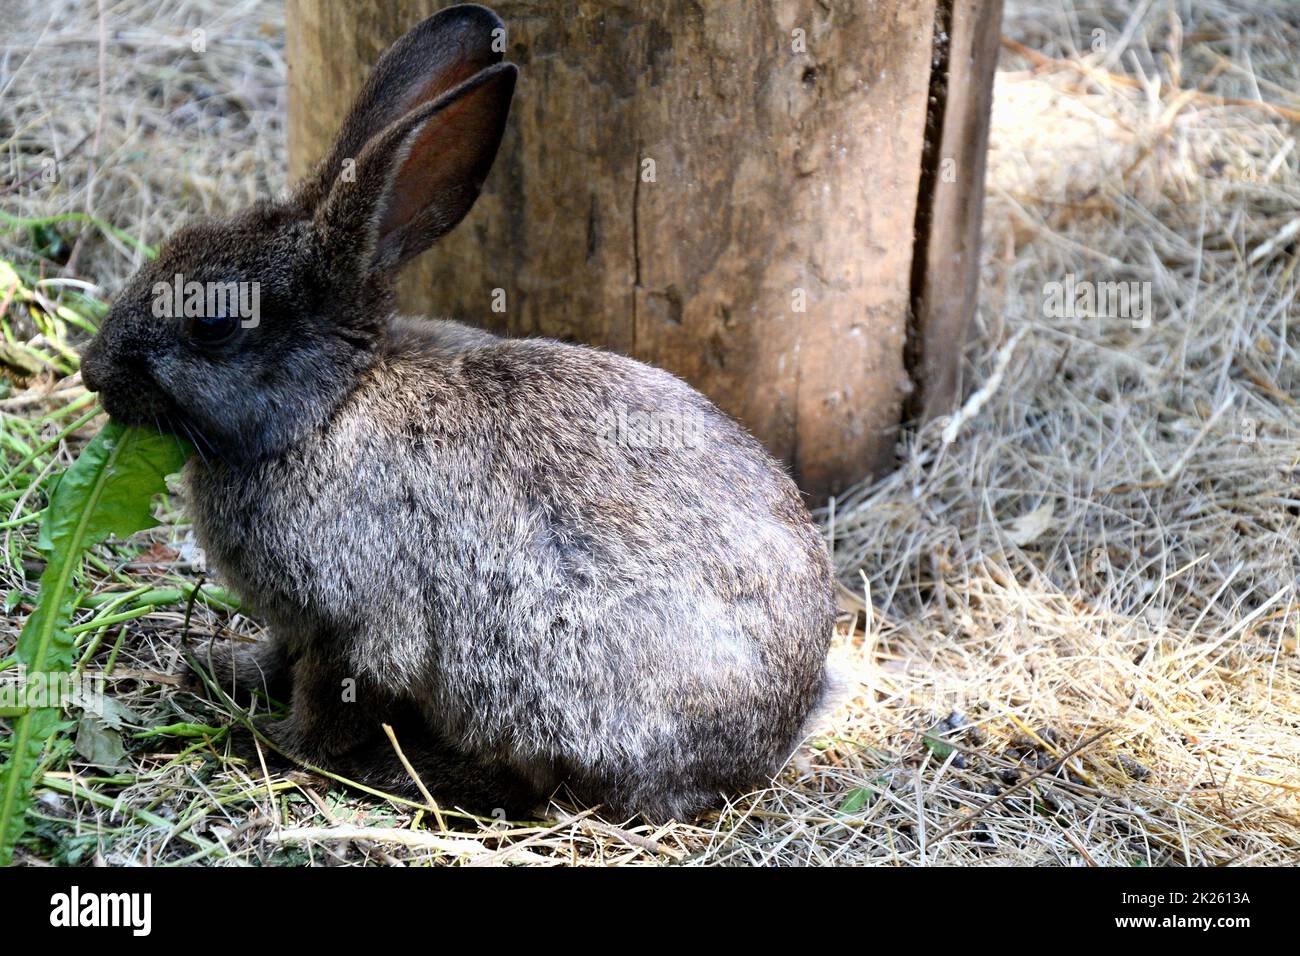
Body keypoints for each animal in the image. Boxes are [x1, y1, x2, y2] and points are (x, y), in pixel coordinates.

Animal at [78, 3, 836, 821]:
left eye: (213, 323)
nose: (93, 373)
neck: (330, 404)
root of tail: (774, 734)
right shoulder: (299, 622)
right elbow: (278, 654)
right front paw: (221, 669)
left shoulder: (355, 629)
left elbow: (324, 707)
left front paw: (266, 744)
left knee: (536, 787)